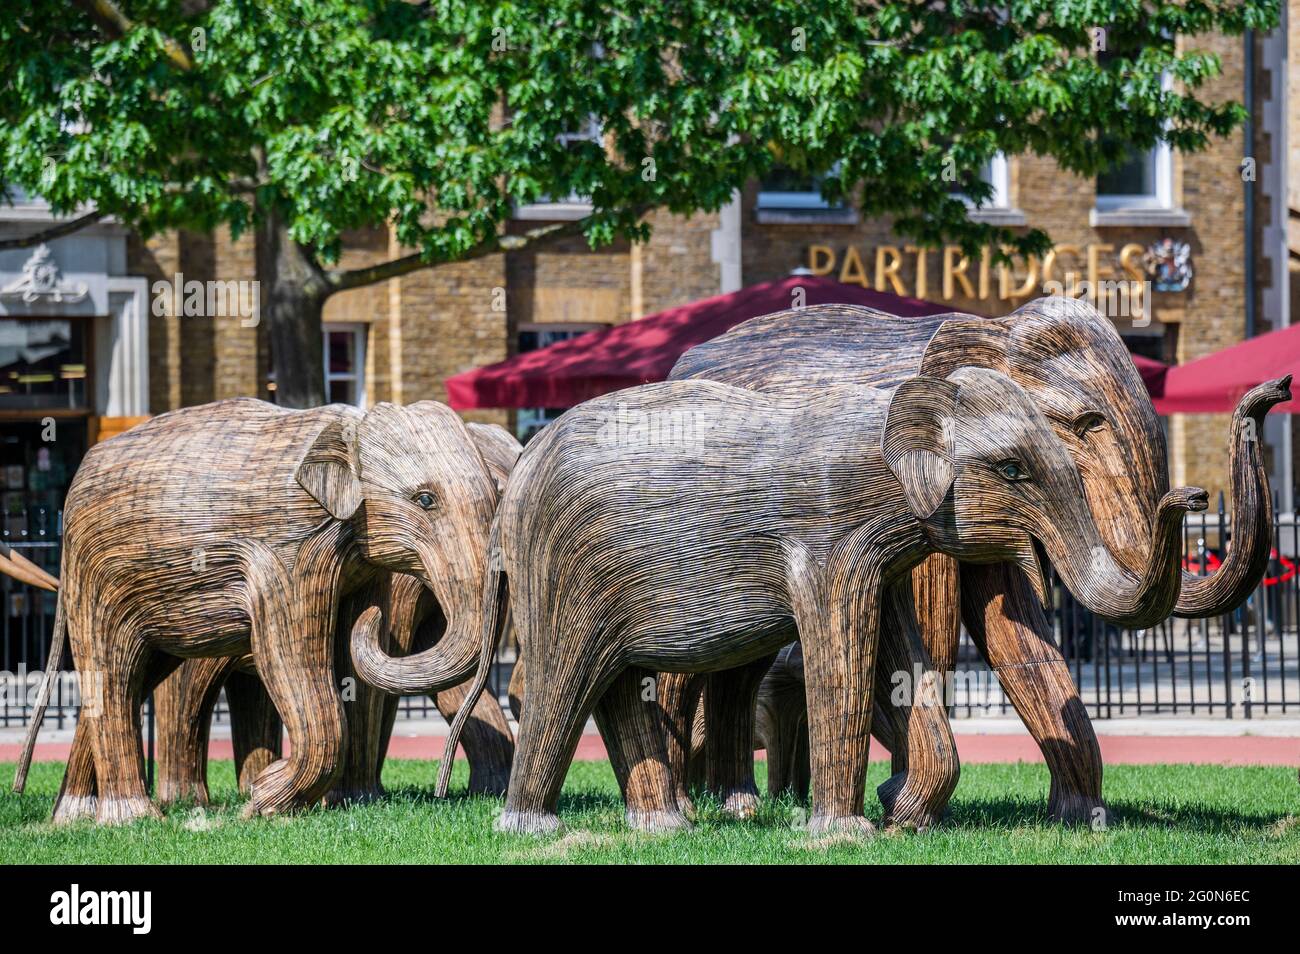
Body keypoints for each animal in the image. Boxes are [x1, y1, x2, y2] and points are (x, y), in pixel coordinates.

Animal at [12, 396, 502, 825]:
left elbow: (353, 670)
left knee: (132, 677)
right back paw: (132, 819)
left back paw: (73, 817)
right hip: (98, 577)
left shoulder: (364, 560)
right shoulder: (285, 555)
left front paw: (337, 803)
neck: (348, 425)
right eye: (425, 500)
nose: (441, 789)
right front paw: (263, 800)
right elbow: (286, 657)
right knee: (113, 670)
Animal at [448, 366, 1206, 834]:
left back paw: (662, 827)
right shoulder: (825, 535)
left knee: (614, 685)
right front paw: (845, 833)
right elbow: (841, 647)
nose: (1194, 495)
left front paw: (906, 817)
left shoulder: (888, 547)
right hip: (560, 567)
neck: (899, 400)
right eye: (1013, 468)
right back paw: (532, 828)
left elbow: (900, 658)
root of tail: (512, 485)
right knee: (563, 680)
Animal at [653, 296, 1288, 826]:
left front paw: (1079, 820)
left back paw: (736, 806)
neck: (988, 328)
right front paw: (907, 811)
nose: (1273, 391)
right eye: (1086, 423)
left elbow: (1014, 632)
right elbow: (918, 630)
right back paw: (691, 807)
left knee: (740, 668)